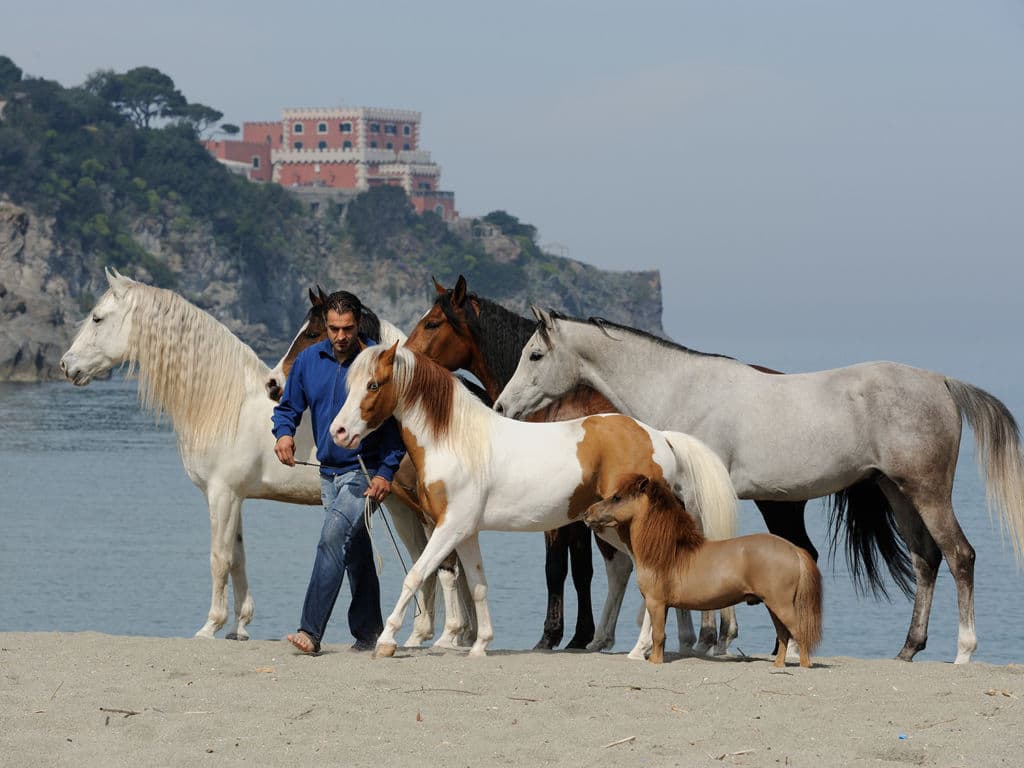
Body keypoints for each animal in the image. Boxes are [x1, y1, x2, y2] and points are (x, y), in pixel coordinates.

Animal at [58, 268, 455, 647]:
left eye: (97, 318)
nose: (66, 366)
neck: (226, 402)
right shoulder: (234, 498)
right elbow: (237, 558)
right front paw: (240, 627)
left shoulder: (221, 494)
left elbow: (219, 560)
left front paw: (209, 627)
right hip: (399, 506)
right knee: (426, 560)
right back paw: (419, 634)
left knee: (444, 562)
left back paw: (446, 637)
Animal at [328, 342, 739, 658]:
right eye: (350, 384)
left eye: (373, 384)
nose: (339, 431)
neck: (457, 440)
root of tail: (660, 437)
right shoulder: (466, 531)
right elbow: (478, 584)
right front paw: (481, 645)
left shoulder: (449, 527)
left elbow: (414, 575)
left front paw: (386, 641)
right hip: (606, 527)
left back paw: (639, 649)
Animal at [584, 474, 823, 667]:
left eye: (617, 497)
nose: (587, 514)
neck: (667, 551)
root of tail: (793, 549)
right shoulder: (663, 605)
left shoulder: (656, 602)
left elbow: (658, 636)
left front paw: (654, 661)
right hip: (773, 606)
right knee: (783, 634)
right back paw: (778, 666)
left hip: (781, 605)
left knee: (798, 632)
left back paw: (804, 665)